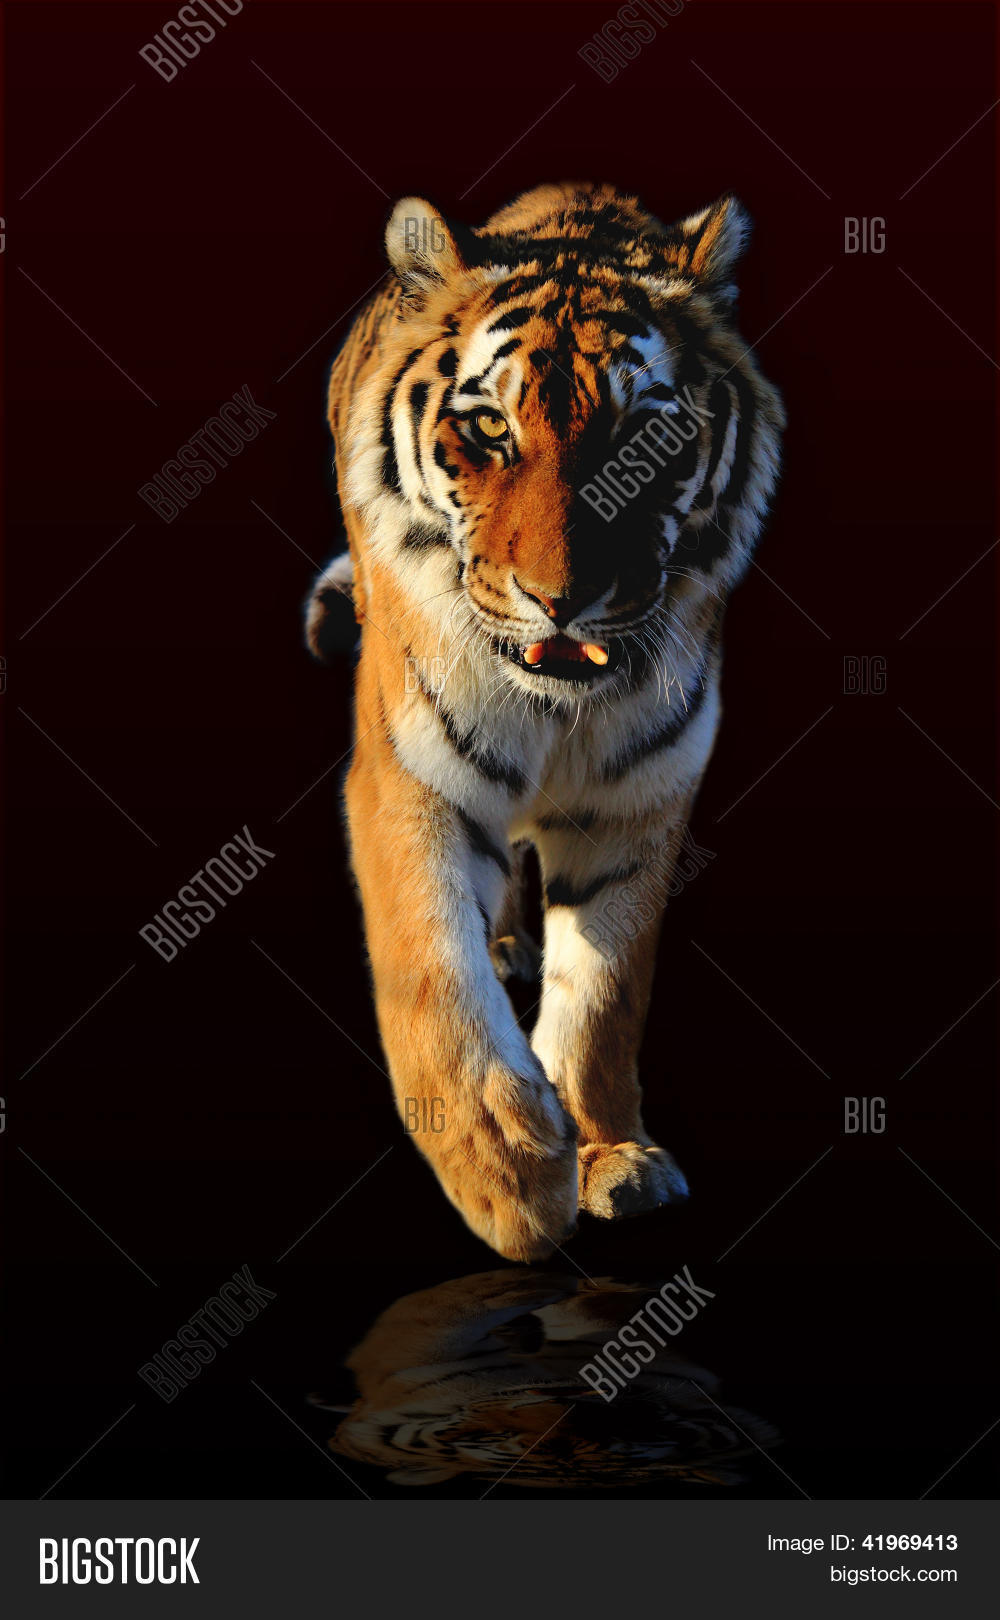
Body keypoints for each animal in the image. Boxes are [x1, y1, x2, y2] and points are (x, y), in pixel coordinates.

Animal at [307, 181, 784, 1262]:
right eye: (488, 428)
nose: (559, 599)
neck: (558, 710)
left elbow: (606, 992)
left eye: (641, 434)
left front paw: (611, 1156)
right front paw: (507, 1171)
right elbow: (429, 967)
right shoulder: (409, 775)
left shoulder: (641, 796)